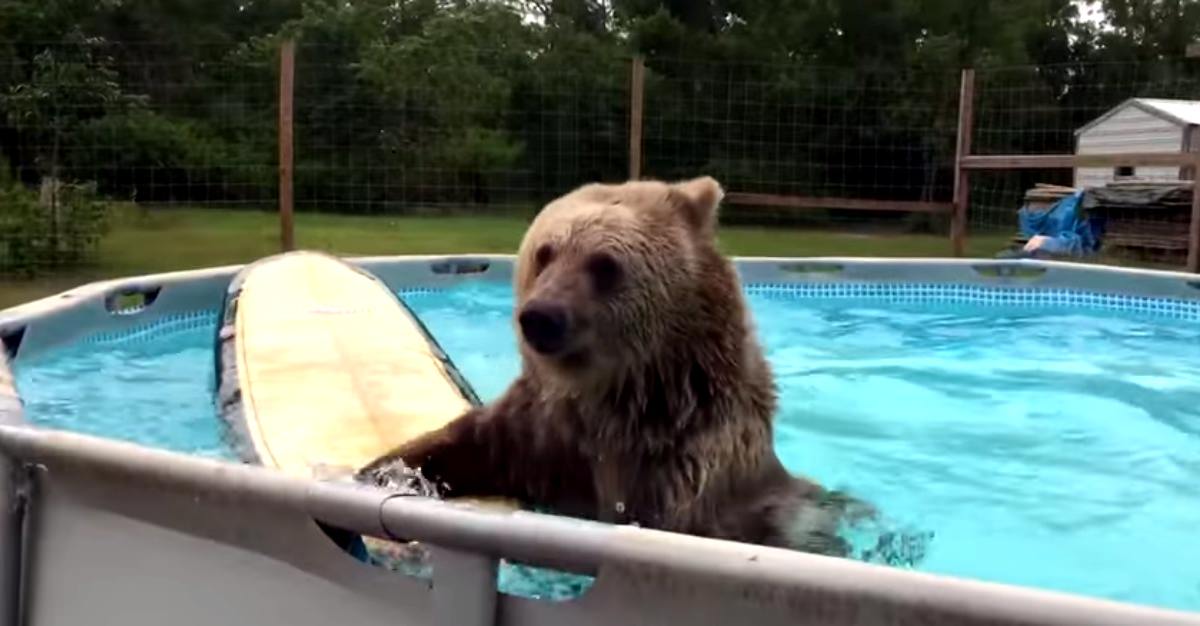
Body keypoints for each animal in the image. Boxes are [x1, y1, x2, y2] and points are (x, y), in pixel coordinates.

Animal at [357, 176, 870, 556]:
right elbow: (447, 450)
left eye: (604, 264)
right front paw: (383, 476)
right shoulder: (539, 436)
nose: (540, 316)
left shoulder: (680, 472)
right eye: (545, 252)